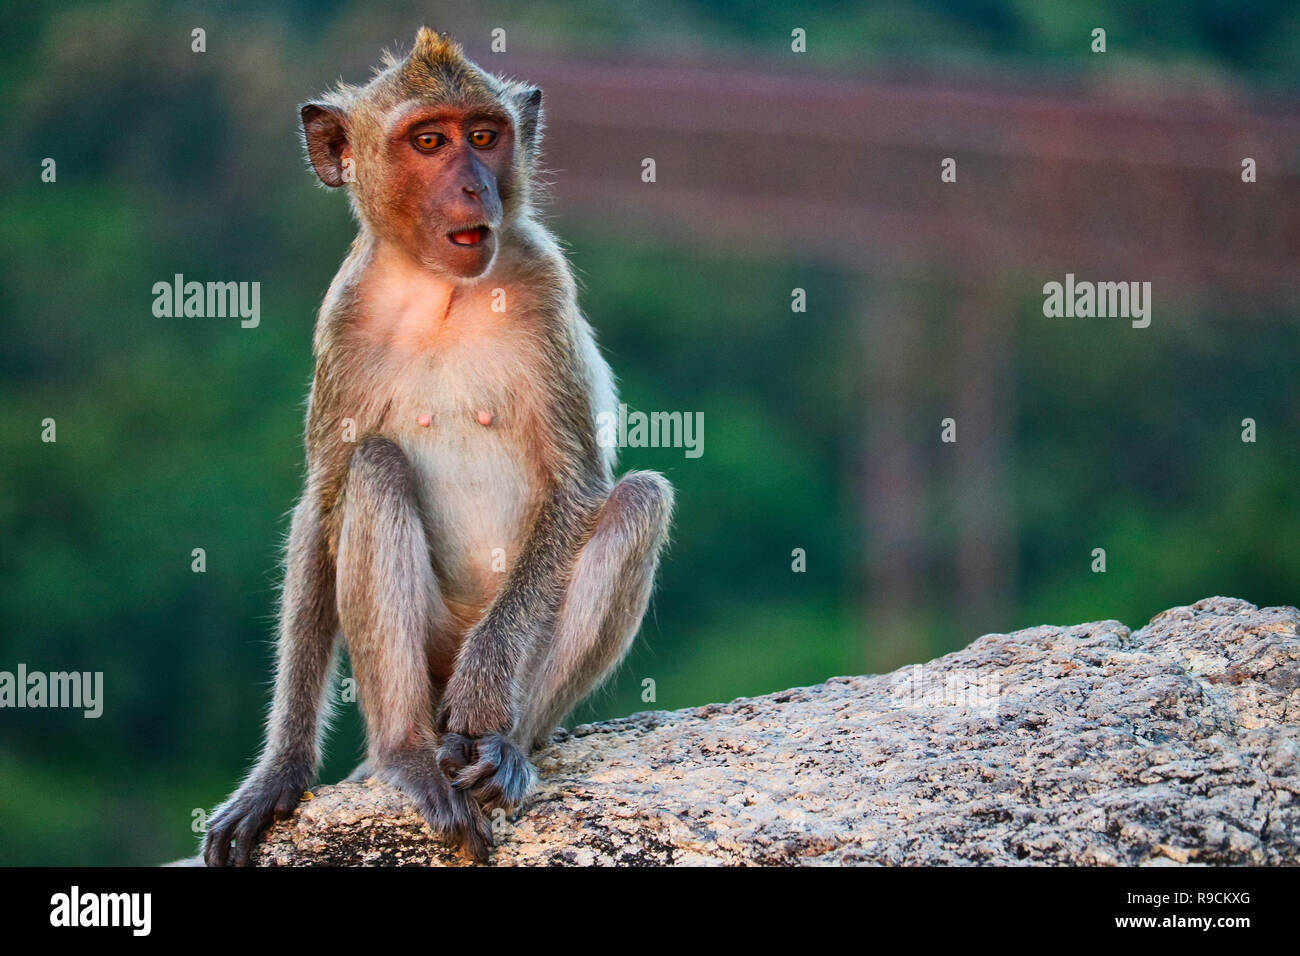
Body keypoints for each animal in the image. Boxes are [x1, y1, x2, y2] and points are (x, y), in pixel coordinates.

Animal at [202, 28, 673, 865]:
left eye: (484, 137)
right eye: (429, 142)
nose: (475, 190)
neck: (439, 291)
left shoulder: (544, 279)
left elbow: (576, 486)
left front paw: (485, 690)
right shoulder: (341, 317)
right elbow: (324, 505)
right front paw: (279, 772)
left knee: (637, 503)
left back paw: (501, 746)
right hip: (424, 667)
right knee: (376, 467)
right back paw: (407, 758)